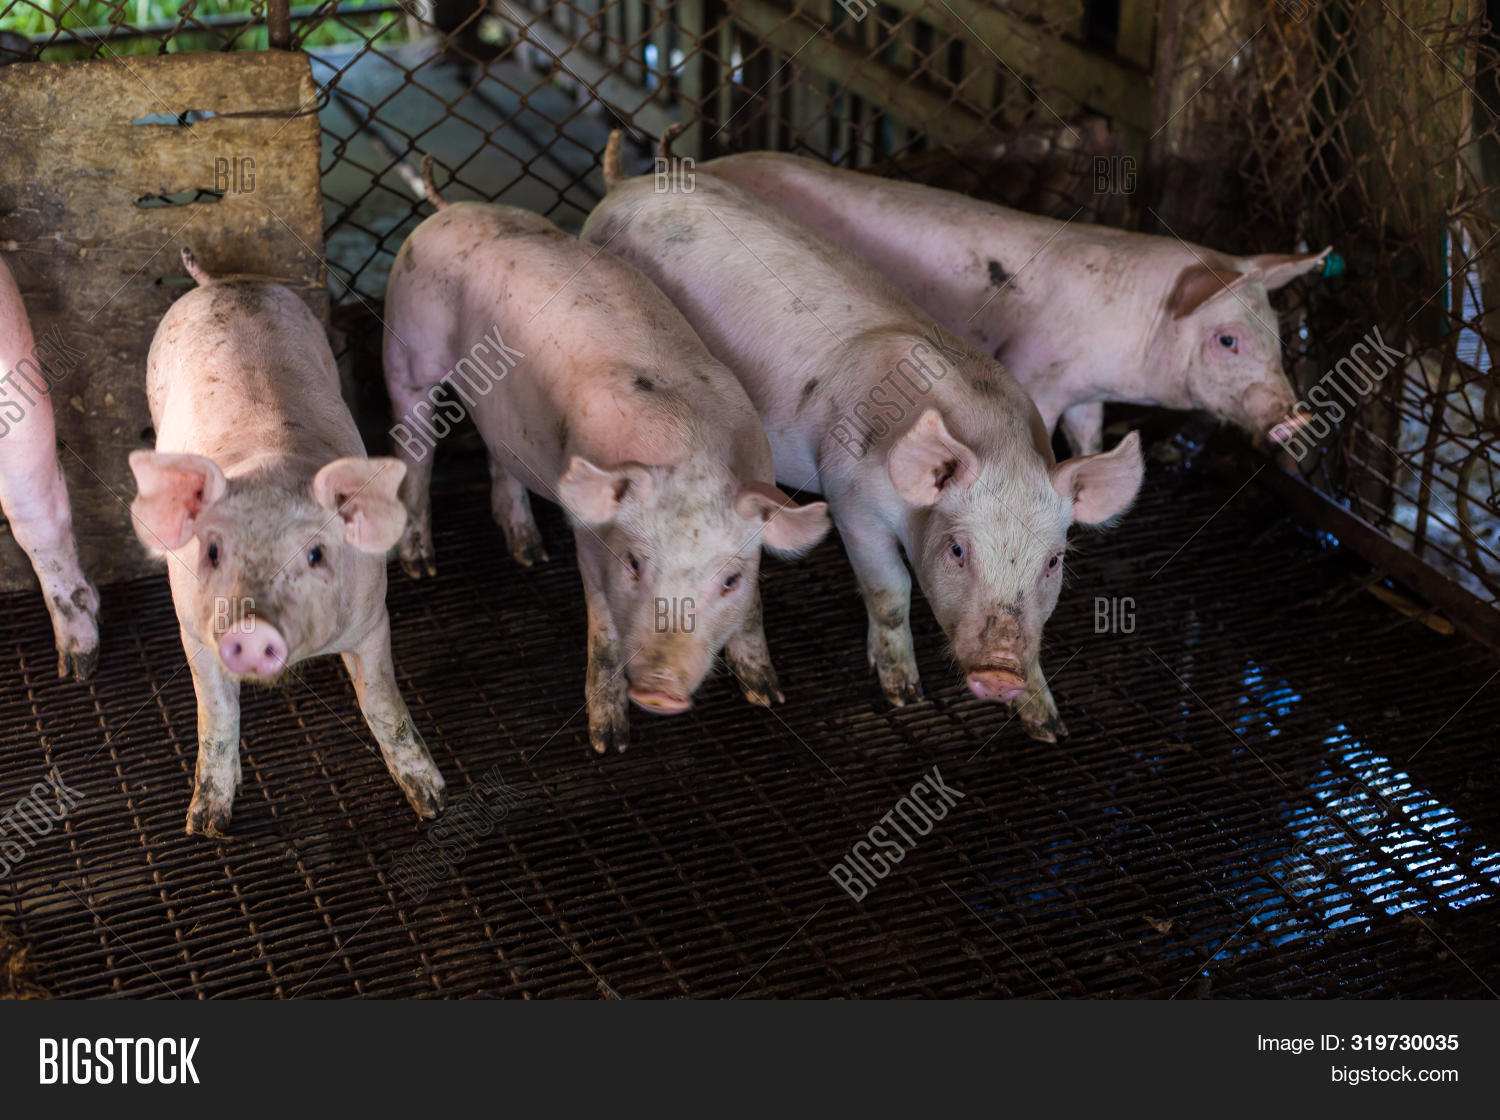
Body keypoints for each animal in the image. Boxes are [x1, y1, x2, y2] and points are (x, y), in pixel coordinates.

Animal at [129, 248, 445, 836]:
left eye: (315, 554)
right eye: (213, 551)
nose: (252, 627)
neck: (268, 468)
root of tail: (220, 284)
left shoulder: (373, 617)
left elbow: (383, 705)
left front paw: (434, 805)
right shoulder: (193, 628)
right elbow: (217, 717)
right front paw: (204, 825)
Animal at [380, 159, 829, 754]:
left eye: (730, 580)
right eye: (634, 563)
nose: (660, 690)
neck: (689, 450)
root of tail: (450, 208)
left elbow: (754, 613)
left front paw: (769, 696)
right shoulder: (591, 534)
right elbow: (605, 628)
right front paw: (609, 743)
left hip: (504, 413)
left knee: (501, 456)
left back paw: (530, 552)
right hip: (406, 349)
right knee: (416, 450)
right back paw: (419, 562)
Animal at [583, 132, 1144, 741]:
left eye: (1054, 561)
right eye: (957, 549)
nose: (998, 673)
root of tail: (626, 183)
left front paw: (1049, 727)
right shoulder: (850, 499)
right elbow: (890, 591)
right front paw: (904, 695)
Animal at [695, 146, 1330, 456]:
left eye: (1278, 334)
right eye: (1228, 339)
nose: (1296, 415)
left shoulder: (1087, 392)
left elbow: (1088, 433)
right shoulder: (1036, 370)